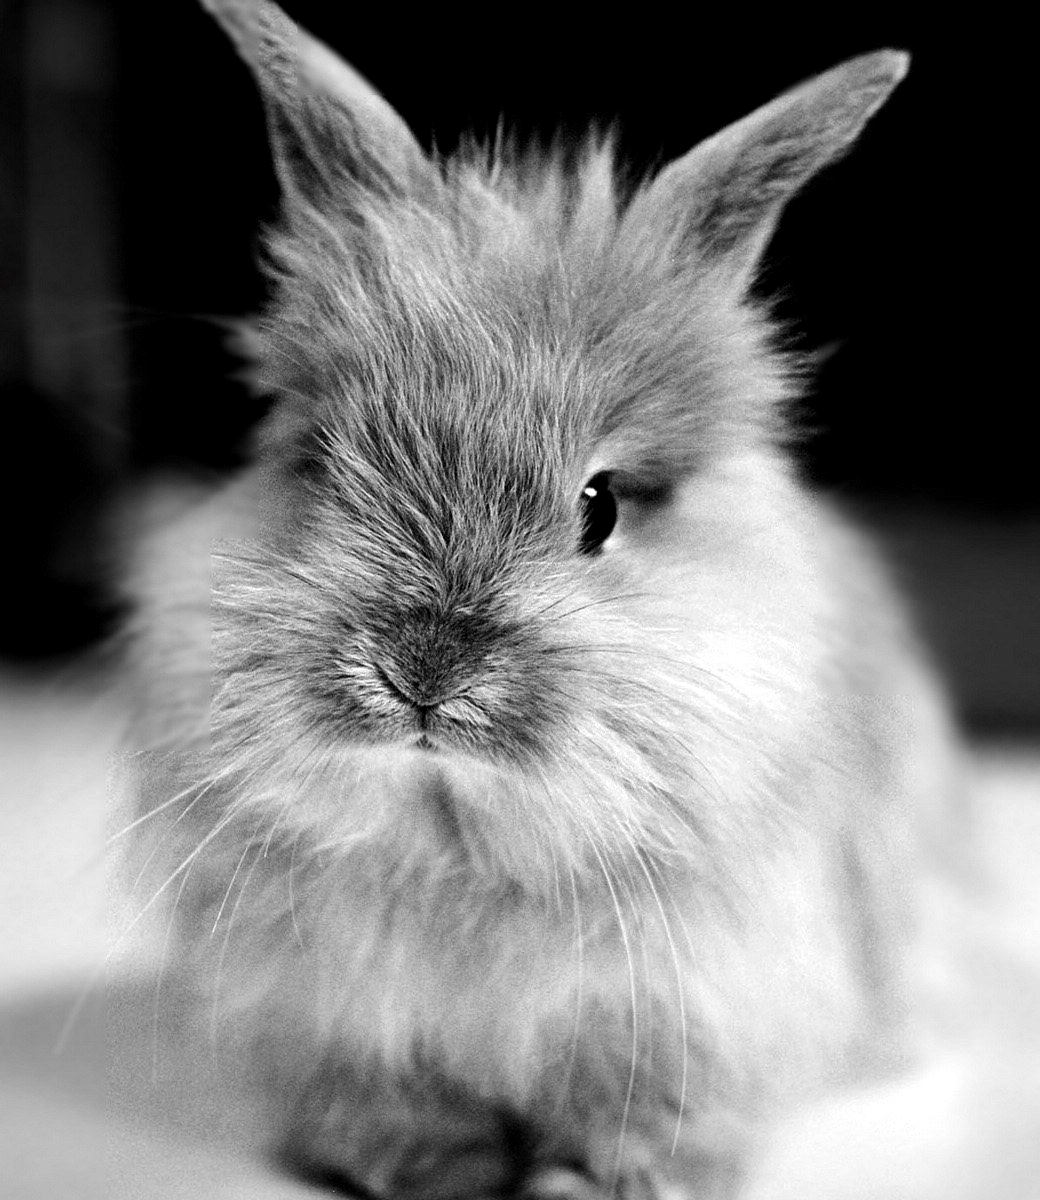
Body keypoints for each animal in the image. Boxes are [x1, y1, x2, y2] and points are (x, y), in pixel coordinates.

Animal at [123, 2, 958, 1196]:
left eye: (599, 507)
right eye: (321, 461)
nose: (423, 670)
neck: (463, 836)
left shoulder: (681, 1007)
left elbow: (646, 1119)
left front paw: (595, 1185)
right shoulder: (341, 1018)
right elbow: (391, 1107)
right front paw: (441, 1173)